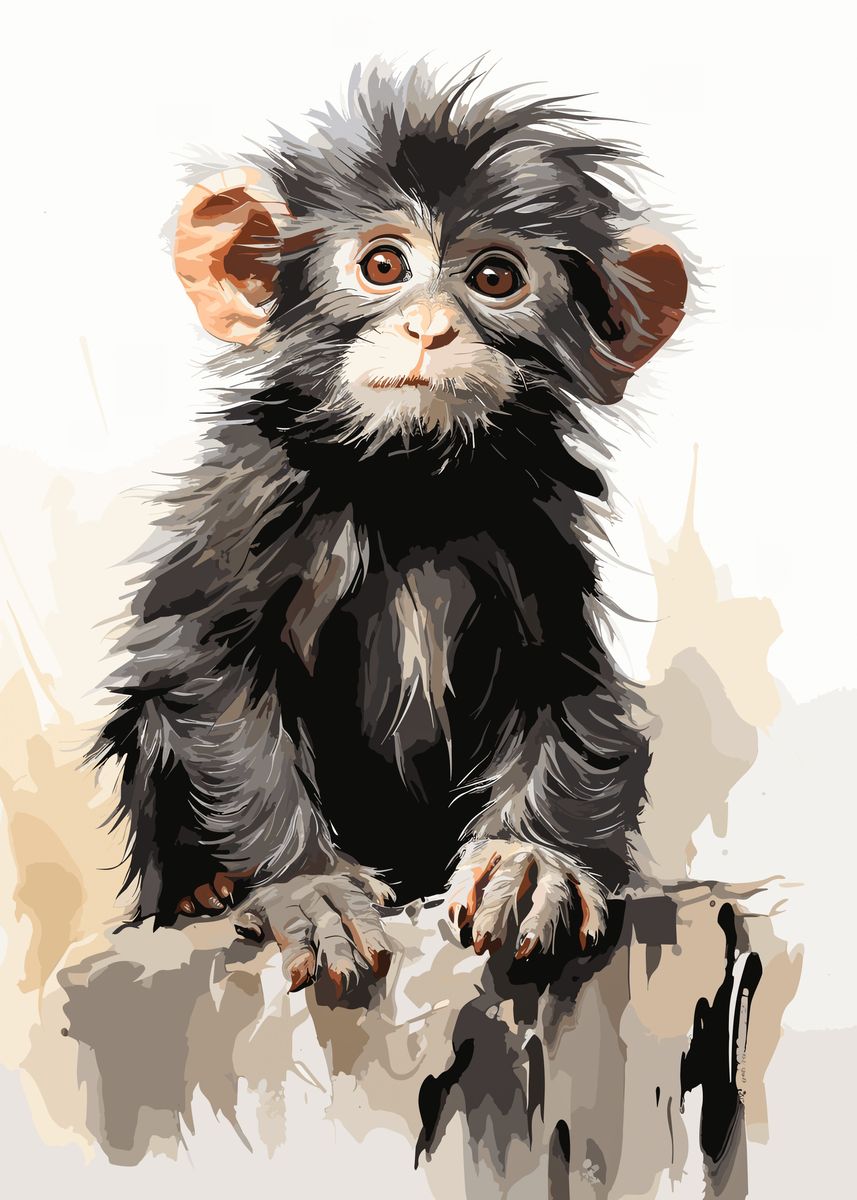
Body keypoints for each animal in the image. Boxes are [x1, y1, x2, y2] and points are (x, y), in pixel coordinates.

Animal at [92, 61, 687, 996]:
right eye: (382, 264)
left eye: (494, 278)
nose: (428, 326)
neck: (410, 488)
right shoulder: (249, 502)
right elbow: (204, 666)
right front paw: (305, 886)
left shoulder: (537, 532)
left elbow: (568, 688)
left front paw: (534, 864)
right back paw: (200, 890)